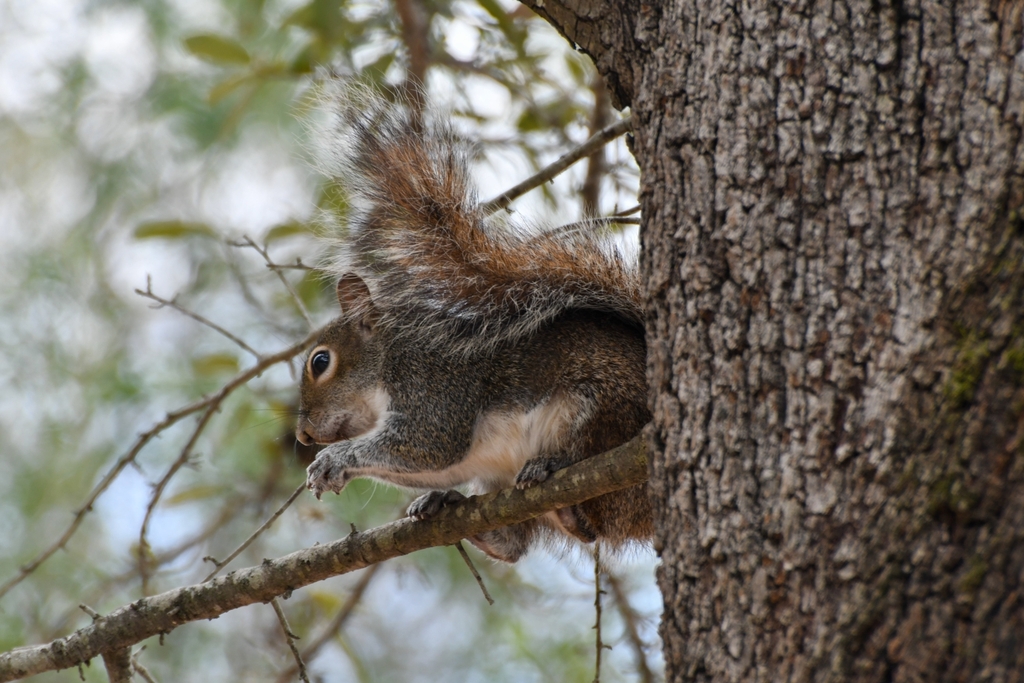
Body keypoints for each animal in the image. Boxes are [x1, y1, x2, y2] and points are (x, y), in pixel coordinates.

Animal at [295, 89, 651, 563]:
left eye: (321, 362)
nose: (302, 435)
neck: (390, 360)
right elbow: (434, 464)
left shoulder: (436, 385)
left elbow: (429, 443)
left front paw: (333, 459)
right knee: (519, 544)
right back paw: (462, 509)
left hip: (601, 405)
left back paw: (554, 466)